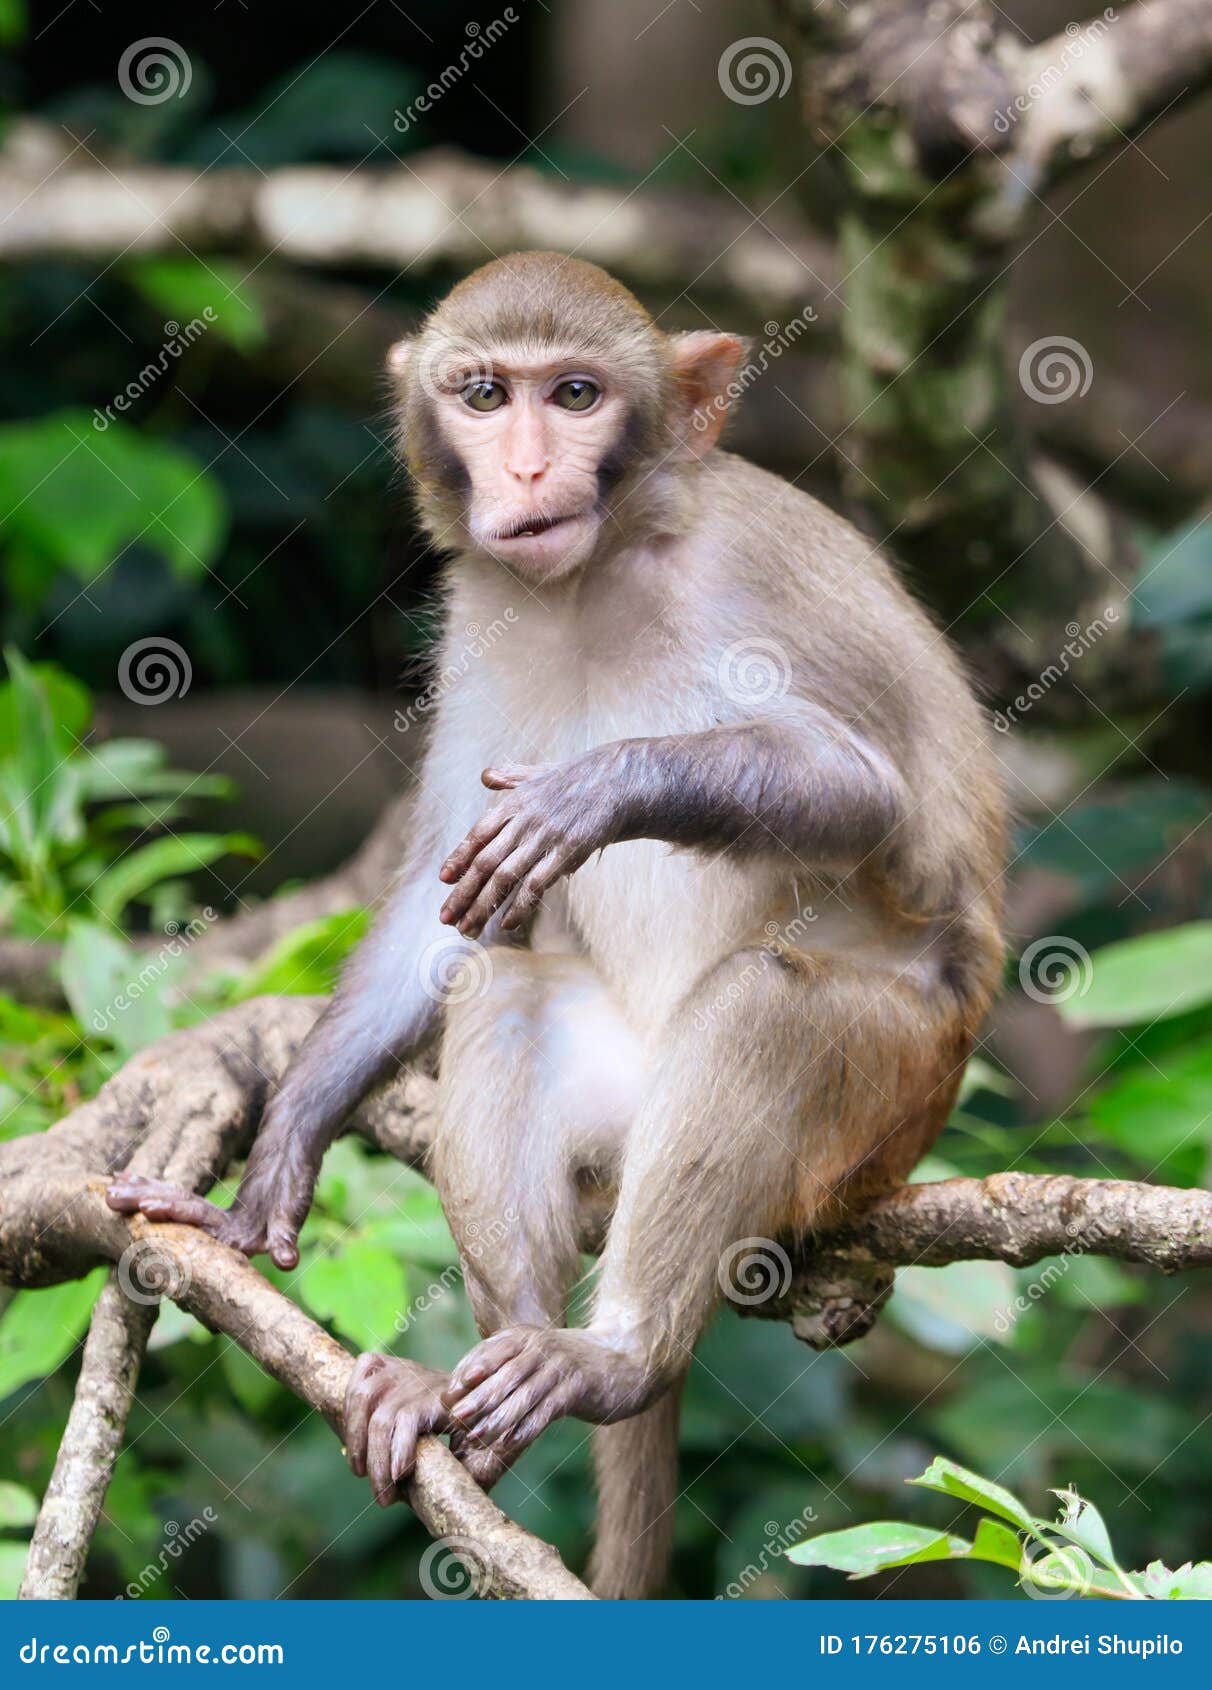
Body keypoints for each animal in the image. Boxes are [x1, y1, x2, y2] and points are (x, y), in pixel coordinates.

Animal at [108, 250, 1006, 1600]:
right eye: (486, 394)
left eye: (576, 395)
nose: (529, 470)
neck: (598, 571)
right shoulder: (478, 610)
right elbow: (437, 893)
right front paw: (278, 1160)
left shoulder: (749, 573)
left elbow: (866, 792)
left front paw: (600, 789)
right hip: (619, 1094)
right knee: (503, 995)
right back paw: (492, 1368)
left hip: (890, 1103)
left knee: (762, 1003)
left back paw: (614, 1360)